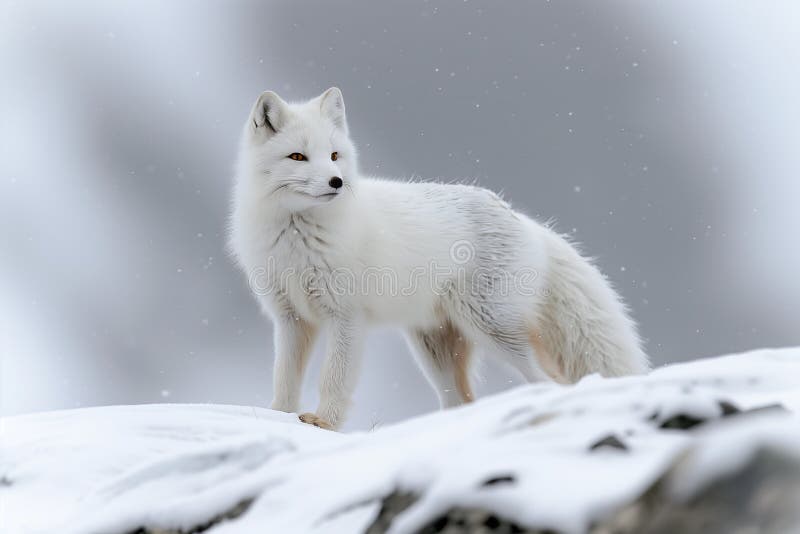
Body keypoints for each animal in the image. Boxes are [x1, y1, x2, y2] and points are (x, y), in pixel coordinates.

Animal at [229, 87, 649, 430]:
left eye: (334, 155)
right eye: (298, 156)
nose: (337, 182)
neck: (297, 237)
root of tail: (521, 217)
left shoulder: (346, 317)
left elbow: (333, 377)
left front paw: (323, 423)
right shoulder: (290, 319)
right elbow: (285, 378)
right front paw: (277, 415)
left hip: (494, 328)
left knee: (552, 381)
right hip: (435, 347)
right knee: (461, 400)